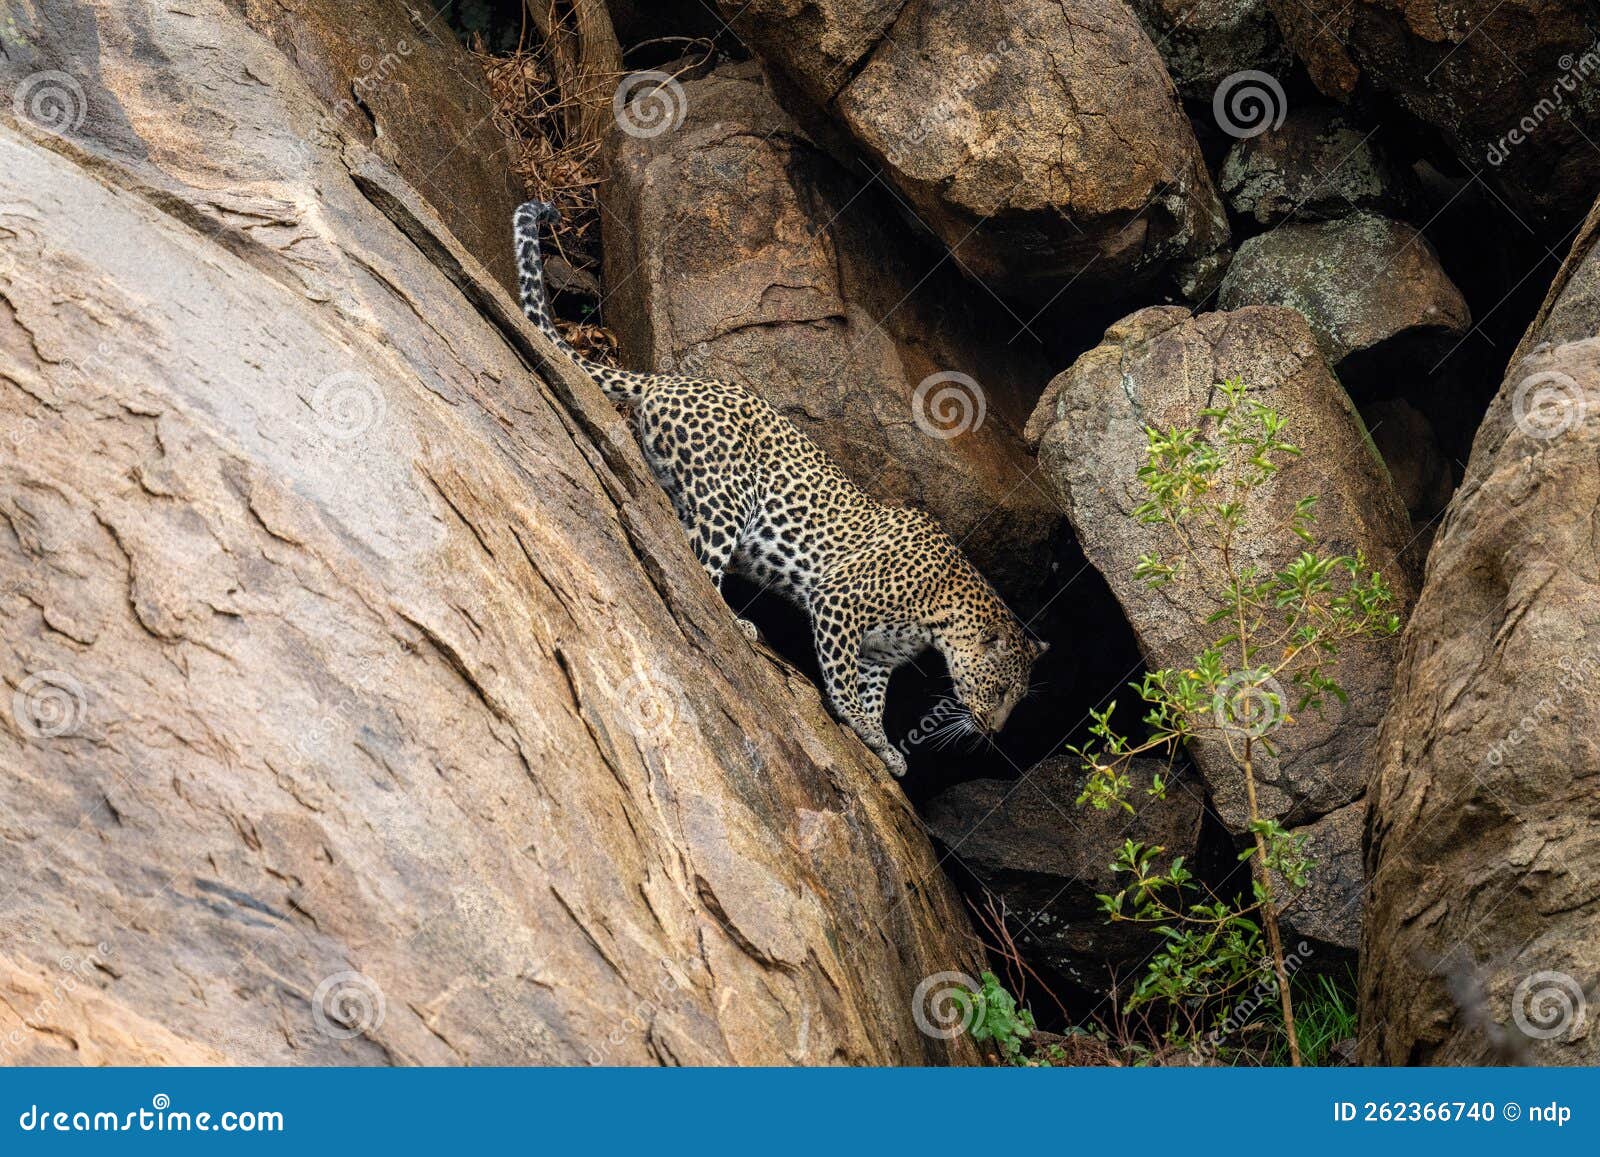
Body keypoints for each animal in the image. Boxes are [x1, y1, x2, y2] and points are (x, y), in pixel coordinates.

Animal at [513, 201, 1048, 776]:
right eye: (1000, 692)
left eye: (1017, 700)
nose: (995, 733)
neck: (940, 617)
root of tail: (667, 380)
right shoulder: (839, 601)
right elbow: (841, 682)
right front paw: (858, 724)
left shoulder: (877, 654)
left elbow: (873, 695)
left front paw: (882, 744)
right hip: (729, 499)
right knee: (698, 565)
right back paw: (737, 623)